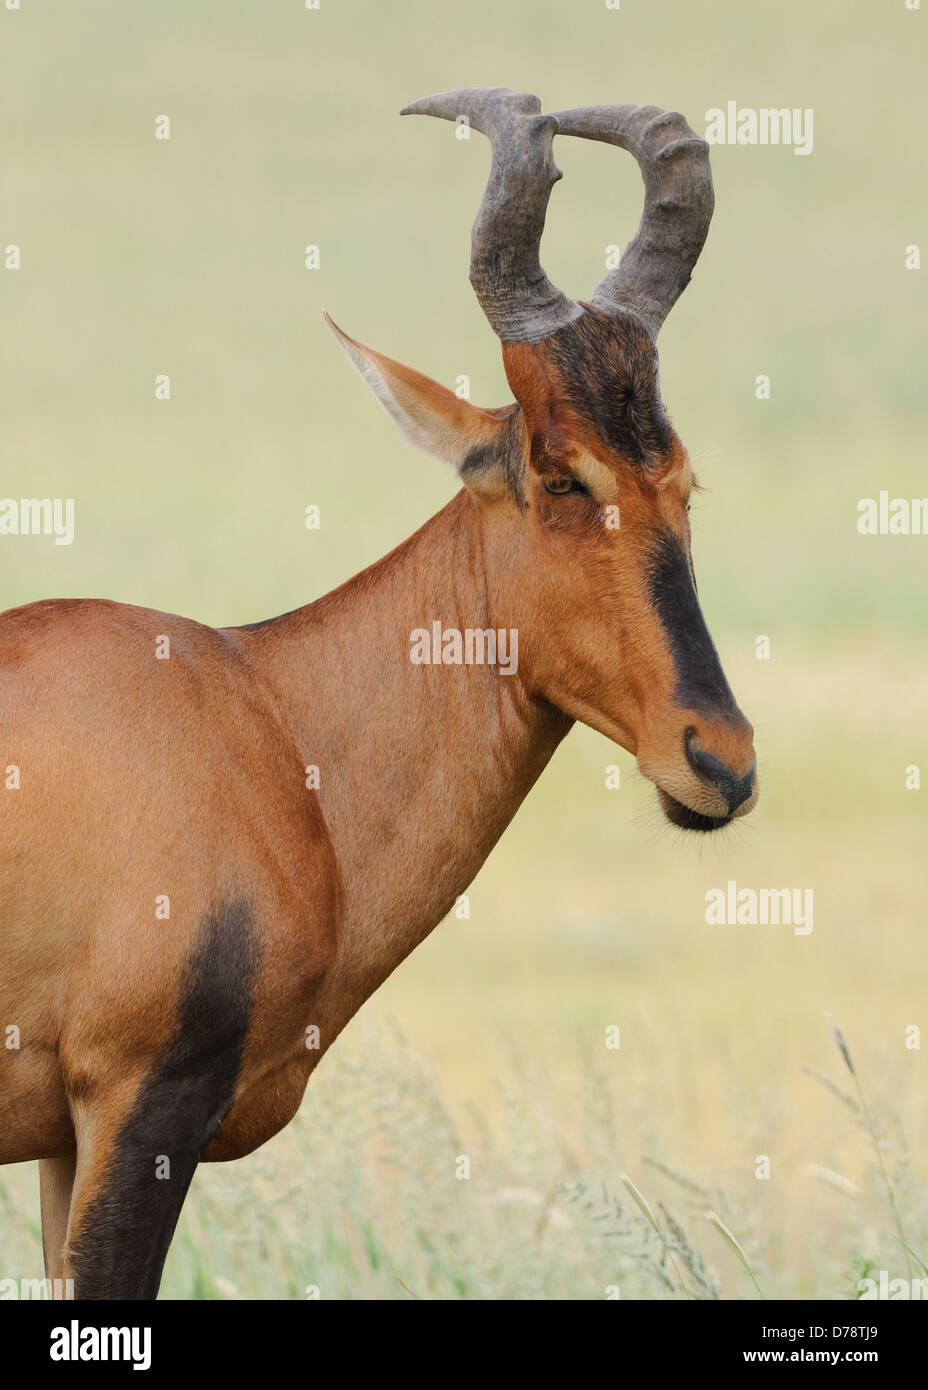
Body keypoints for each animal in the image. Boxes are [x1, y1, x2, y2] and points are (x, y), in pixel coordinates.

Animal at [0, 88, 758, 1300]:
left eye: (683, 477)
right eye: (561, 475)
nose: (719, 762)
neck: (262, 714)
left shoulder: (62, 1139)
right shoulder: (138, 1103)